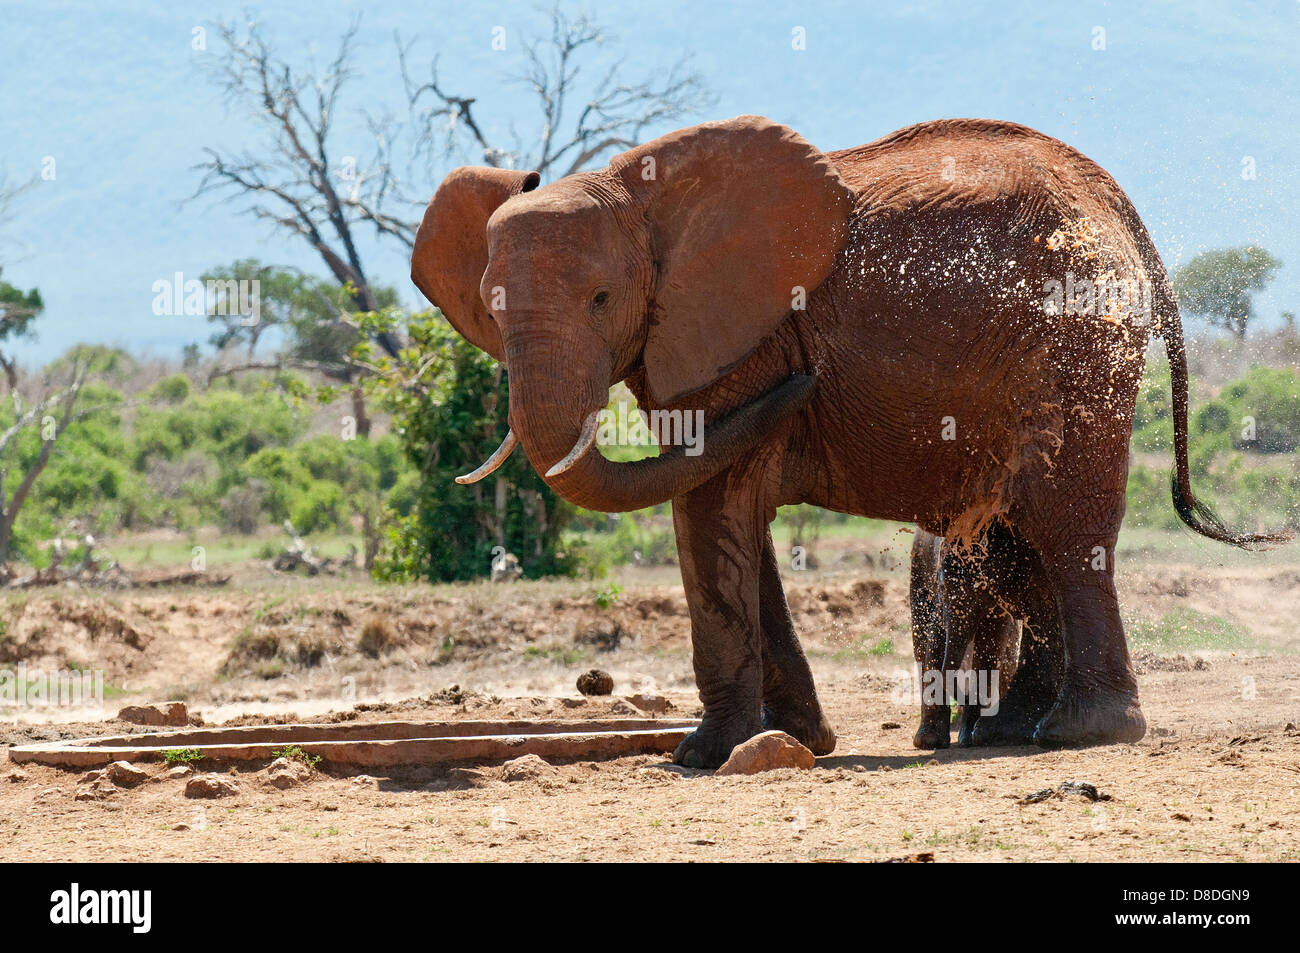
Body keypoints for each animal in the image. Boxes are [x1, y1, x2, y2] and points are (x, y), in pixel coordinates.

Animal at [909, 526, 1063, 749]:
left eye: (986, 586)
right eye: (942, 582)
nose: (966, 699)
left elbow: (991, 642)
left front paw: (969, 738)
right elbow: (936, 638)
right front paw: (930, 743)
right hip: (918, 568)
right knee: (920, 642)